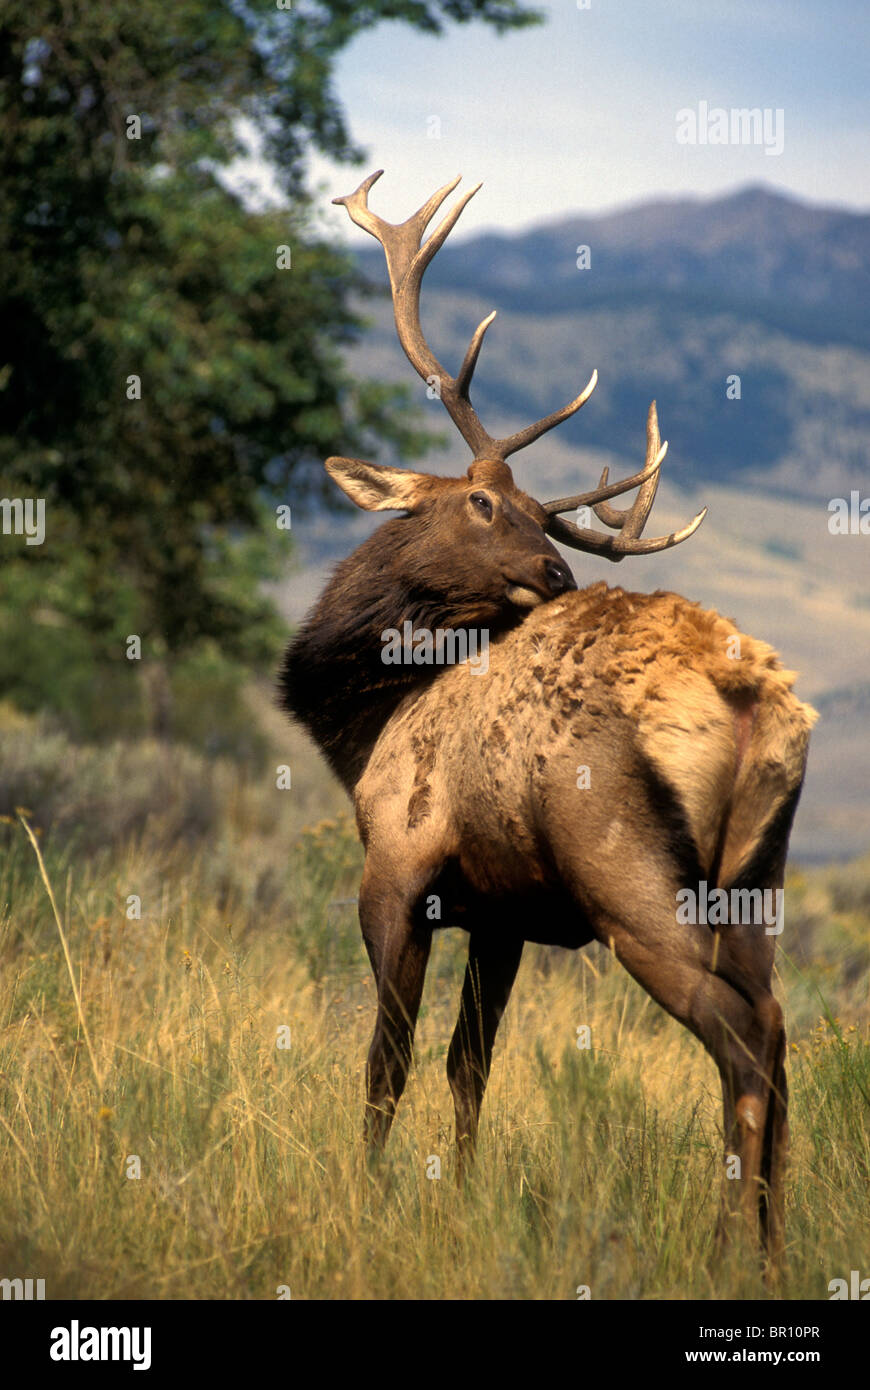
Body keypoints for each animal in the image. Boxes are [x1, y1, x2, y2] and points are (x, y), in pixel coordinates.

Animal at [279, 170, 816, 1266]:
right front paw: (458, 1201)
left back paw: (722, 1252)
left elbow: (387, 1061)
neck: (363, 722)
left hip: (631, 878)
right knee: (779, 1033)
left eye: (531, 514)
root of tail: (757, 699)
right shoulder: (504, 911)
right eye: (485, 506)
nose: (561, 572)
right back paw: (779, 1252)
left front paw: (367, 1196)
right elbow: (467, 1068)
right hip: (758, 882)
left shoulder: (397, 866)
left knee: (742, 1046)